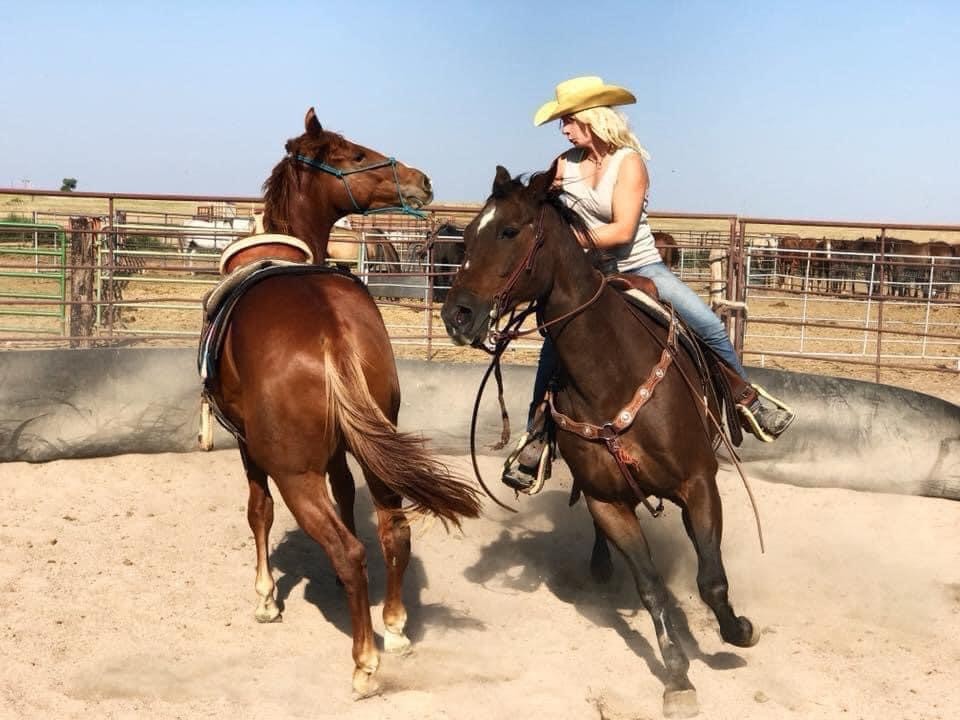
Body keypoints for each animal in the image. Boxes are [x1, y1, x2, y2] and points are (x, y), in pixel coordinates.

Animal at [205, 107, 481, 698]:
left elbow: (258, 512)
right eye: (355, 155)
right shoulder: (339, 451)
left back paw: (364, 662)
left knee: (349, 550)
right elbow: (348, 498)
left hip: (293, 472)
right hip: (379, 447)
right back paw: (394, 628)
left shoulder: (247, 445)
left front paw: (264, 597)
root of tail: (331, 332)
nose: (421, 181)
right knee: (393, 531)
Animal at [439, 166, 758, 718]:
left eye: (509, 230)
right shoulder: (607, 500)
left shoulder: (699, 483)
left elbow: (711, 578)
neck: (612, 372)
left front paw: (737, 632)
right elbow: (650, 587)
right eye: (468, 235)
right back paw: (600, 563)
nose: (455, 315)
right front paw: (678, 676)